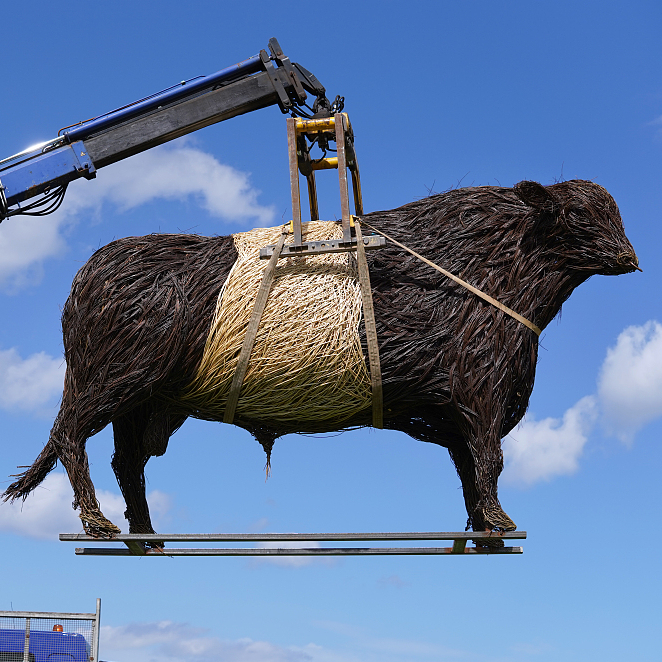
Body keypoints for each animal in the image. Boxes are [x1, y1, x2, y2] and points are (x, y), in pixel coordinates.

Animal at [2, 180, 639, 544]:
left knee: (125, 459)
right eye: (577, 215)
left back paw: (145, 531)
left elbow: (469, 468)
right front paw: (502, 523)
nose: (630, 258)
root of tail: (85, 278)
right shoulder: (476, 392)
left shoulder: (452, 408)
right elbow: (490, 460)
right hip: (112, 380)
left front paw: (483, 528)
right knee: (71, 436)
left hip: (147, 402)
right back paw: (97, 523)